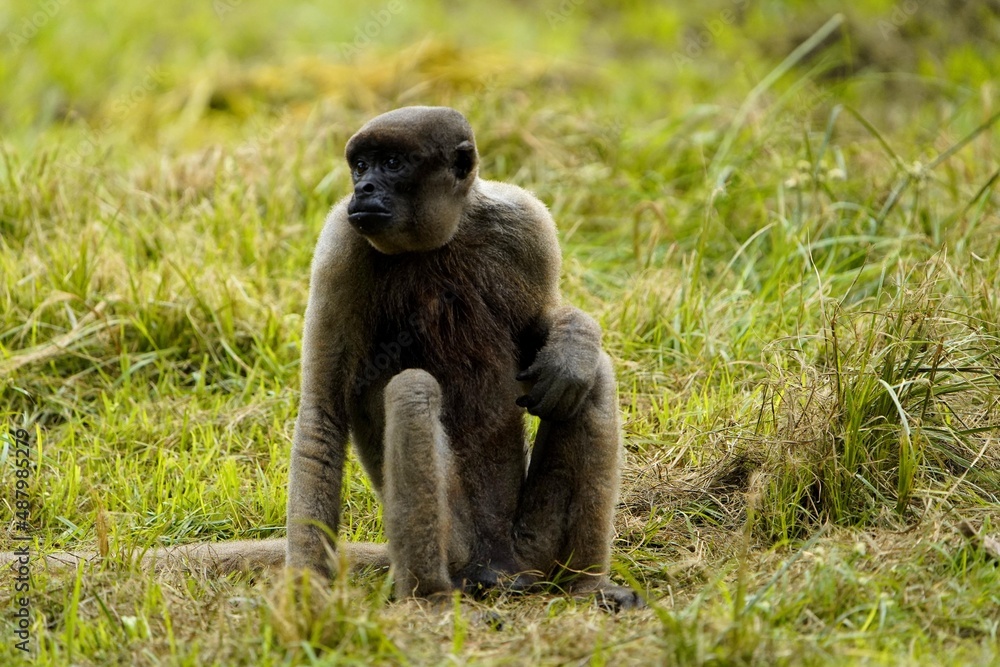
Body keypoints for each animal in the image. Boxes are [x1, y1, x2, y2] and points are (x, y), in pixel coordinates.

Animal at [284, 106, 642, 610]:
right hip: (461, 550)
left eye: (391, 163)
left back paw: (585, 583)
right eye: (360, 166)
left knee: (592, 379)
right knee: (412, 388)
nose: (363, 188)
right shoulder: (339, 246)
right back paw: (431, 598)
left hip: (532, 543)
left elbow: (546, 324)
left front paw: (574, 340)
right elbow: (323, 414)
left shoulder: (527, 222)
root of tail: (501, 565)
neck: (438, 240)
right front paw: (304, 597)